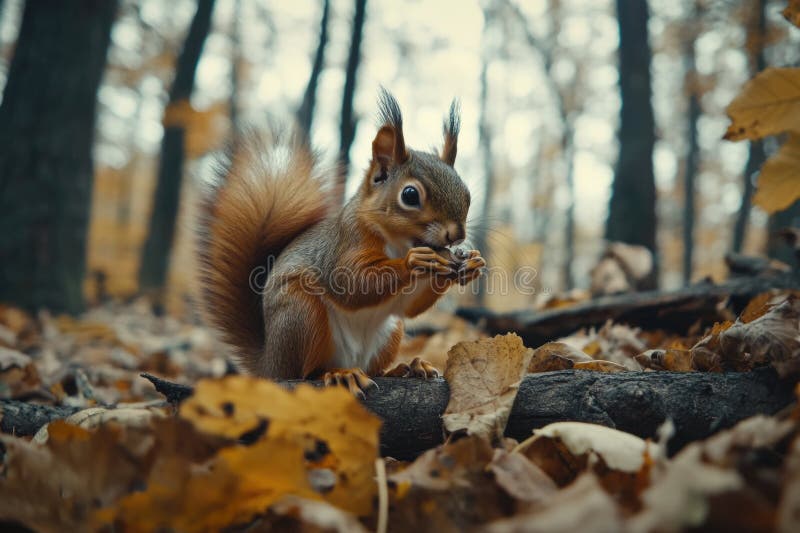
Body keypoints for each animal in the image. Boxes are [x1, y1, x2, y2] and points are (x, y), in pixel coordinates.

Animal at [197, 89, 485, 395]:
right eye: (409, 195)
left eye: (467, 194)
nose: (456, 235)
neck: (399, 243)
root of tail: (270, 365)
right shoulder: (346, 242)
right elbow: (351, 284)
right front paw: (415, 261)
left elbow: (408, 307)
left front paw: (472, 264)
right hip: (300, 315)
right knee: (306, 373)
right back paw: (338, 374)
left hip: (389, 332)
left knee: (374, 369)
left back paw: (407, 368)